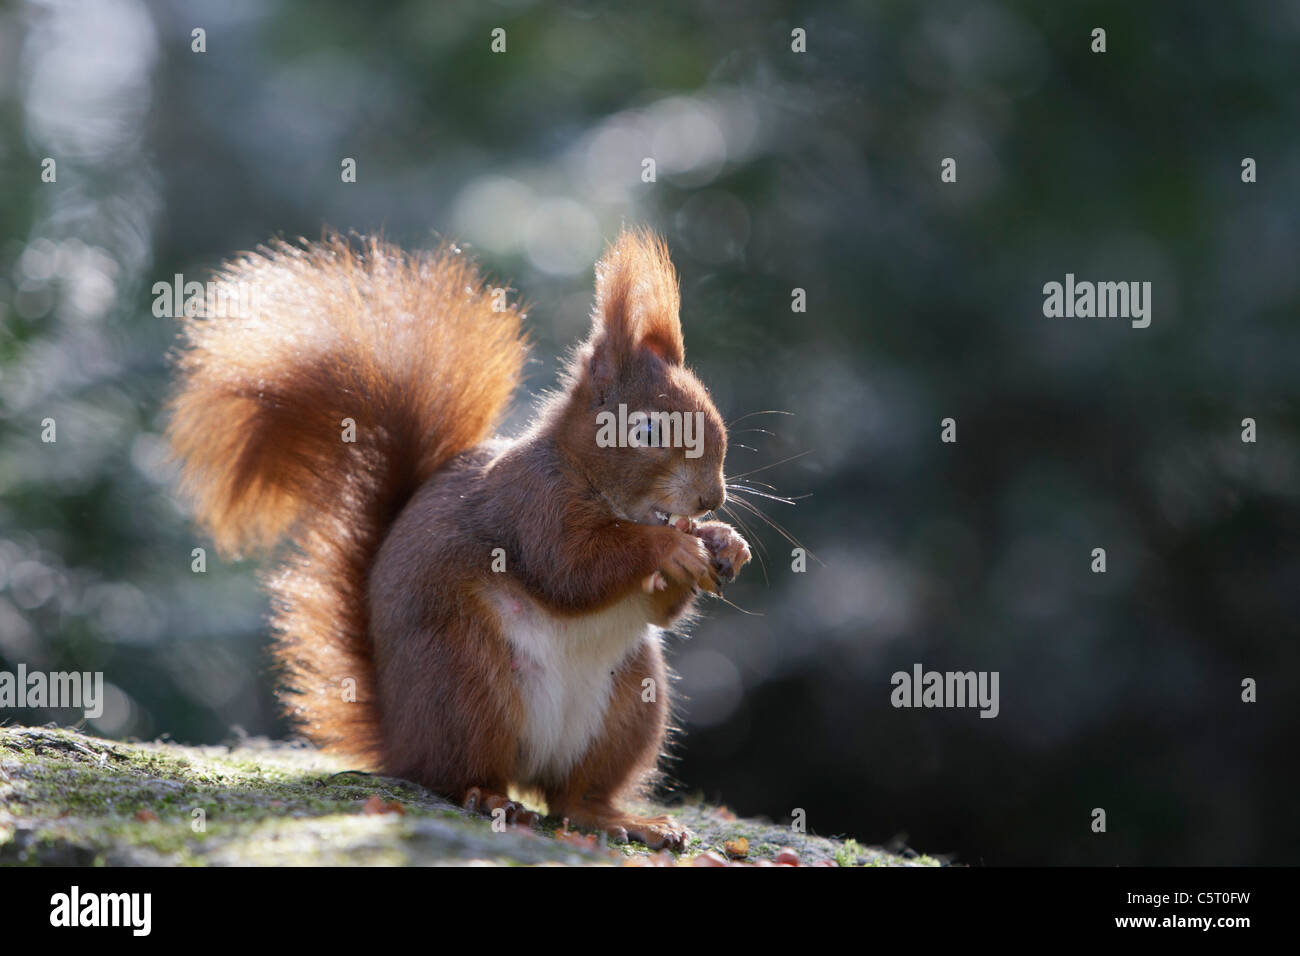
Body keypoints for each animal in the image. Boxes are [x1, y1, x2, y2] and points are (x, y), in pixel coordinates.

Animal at [166, 227, 751, 849]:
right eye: (645, 430)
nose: (710, 498)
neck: (593, 482)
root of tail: (402, 741)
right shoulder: (529, 504)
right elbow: (570, 570)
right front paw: (674, 548)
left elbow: (658, 609)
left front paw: (726, 543)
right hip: (468, 684)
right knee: (462, 776)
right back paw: (494, 800)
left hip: (630, 706)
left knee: (572, 799)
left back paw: (624, 820)